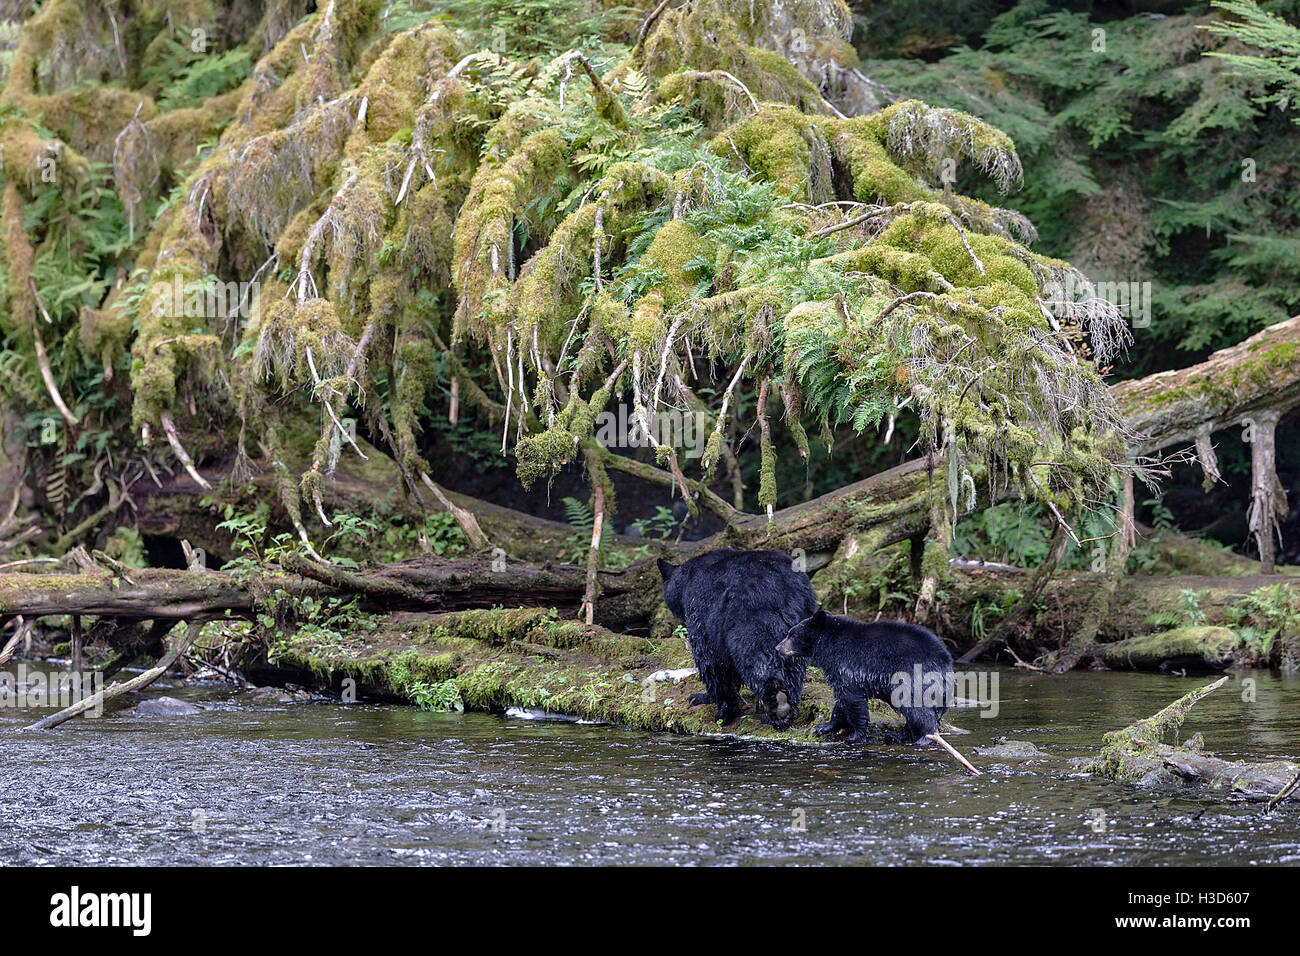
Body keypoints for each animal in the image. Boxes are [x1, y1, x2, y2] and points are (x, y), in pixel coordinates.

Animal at [657, 549, 818, 728]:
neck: (687, 582)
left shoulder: (701, 615)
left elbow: (712, 664)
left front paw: (714, 704)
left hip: (751, 621)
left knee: (757, 660)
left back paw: (779, 706)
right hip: (801, 620)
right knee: (793, 663)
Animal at [776, 609, 953, 744]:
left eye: (792, 634)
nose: (777, 647)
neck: (828, 644)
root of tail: (947, 665)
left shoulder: (845, 665)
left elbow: (852, 699)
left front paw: (854, 735)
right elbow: (841, 701)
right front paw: (822, 726)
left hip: (915, 678)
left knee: (918, 709)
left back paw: (923, 739)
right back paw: (897, 735)